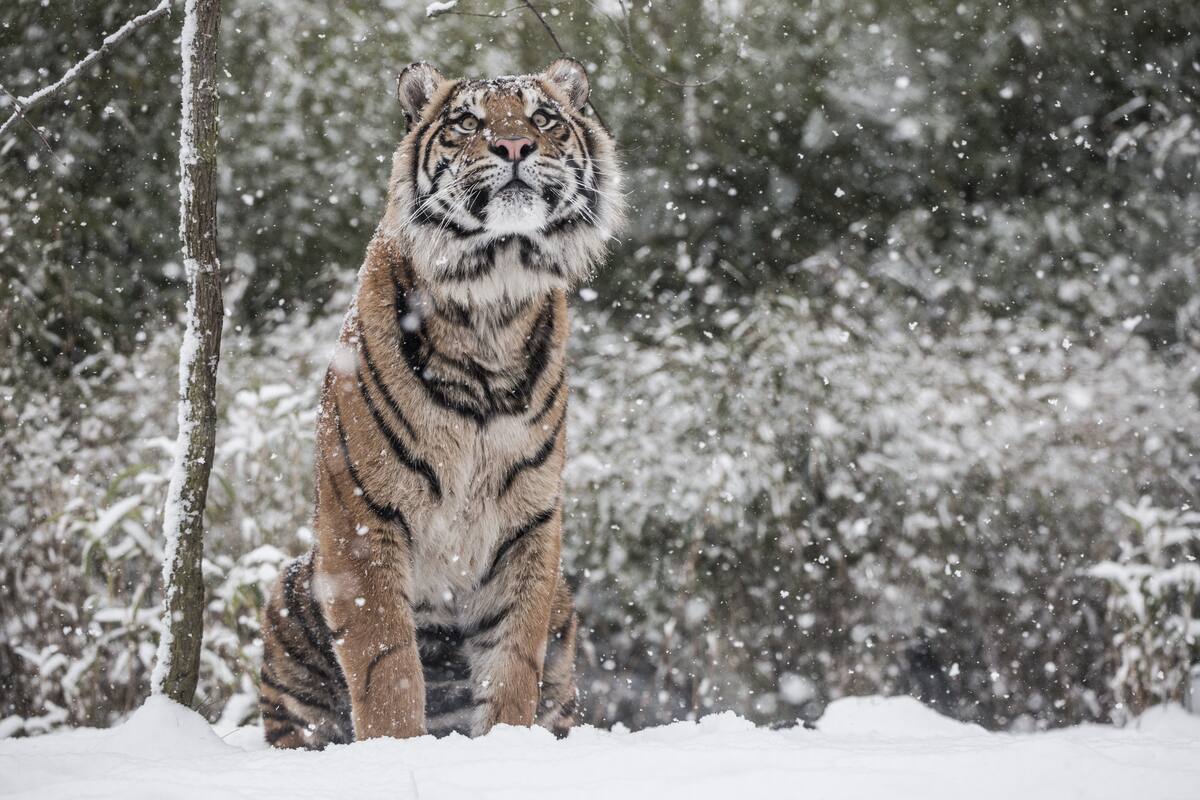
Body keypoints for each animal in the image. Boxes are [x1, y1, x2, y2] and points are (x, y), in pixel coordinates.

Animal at [257, 58, 623, 749]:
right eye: (468, 122)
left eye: (543, 117)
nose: (515, 146)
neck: (493, 299)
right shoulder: (363, 521)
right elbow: (388, 667)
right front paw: (395, 748)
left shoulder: (527, 526)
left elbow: (512, 664)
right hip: (293, 593)